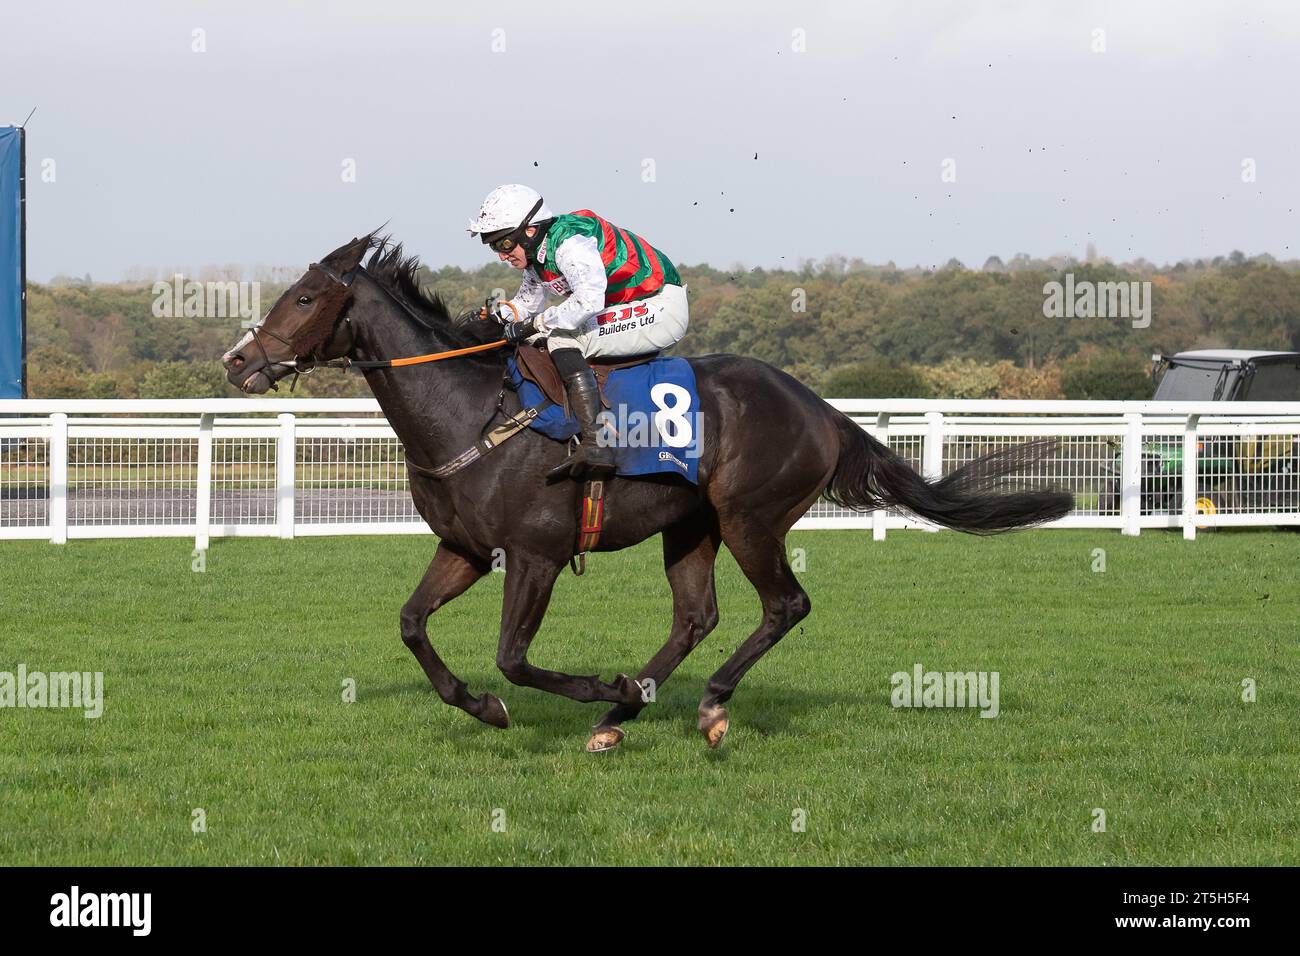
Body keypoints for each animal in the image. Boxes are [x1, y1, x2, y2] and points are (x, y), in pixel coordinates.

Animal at [222, 233, 1073, 752]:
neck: (473, 410)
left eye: (304, 299)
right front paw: (486, 706)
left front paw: (578, 685)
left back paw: (701, 701)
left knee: (784, 605)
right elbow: (410, 625)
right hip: (691, 525)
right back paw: (622, 710)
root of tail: (821, 409)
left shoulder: (535, 553)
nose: (237, 361)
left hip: (749, 518)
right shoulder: (464, 546)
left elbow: (514, 658)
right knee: (696, 617)